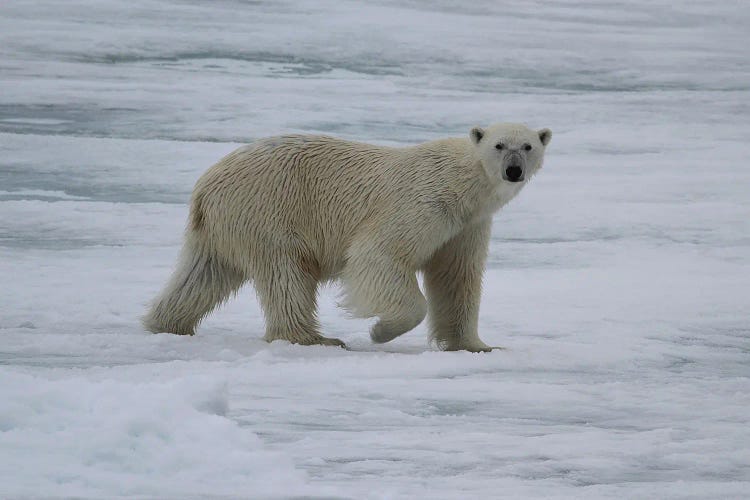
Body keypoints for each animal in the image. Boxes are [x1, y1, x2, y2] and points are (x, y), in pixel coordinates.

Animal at [142, 122, 552, 352]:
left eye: (528, 146)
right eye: (499, 145)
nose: (513, 170)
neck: (462, 182)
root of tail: (206, 185)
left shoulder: (466, 225)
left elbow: (457, 278)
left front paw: (479, 345)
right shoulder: (424, 202)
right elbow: (378, 254)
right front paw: (380, 331)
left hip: (225, 225)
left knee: (203, 274)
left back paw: (166, 323)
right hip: (271, 209)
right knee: (286, 274)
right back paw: (315, 338)